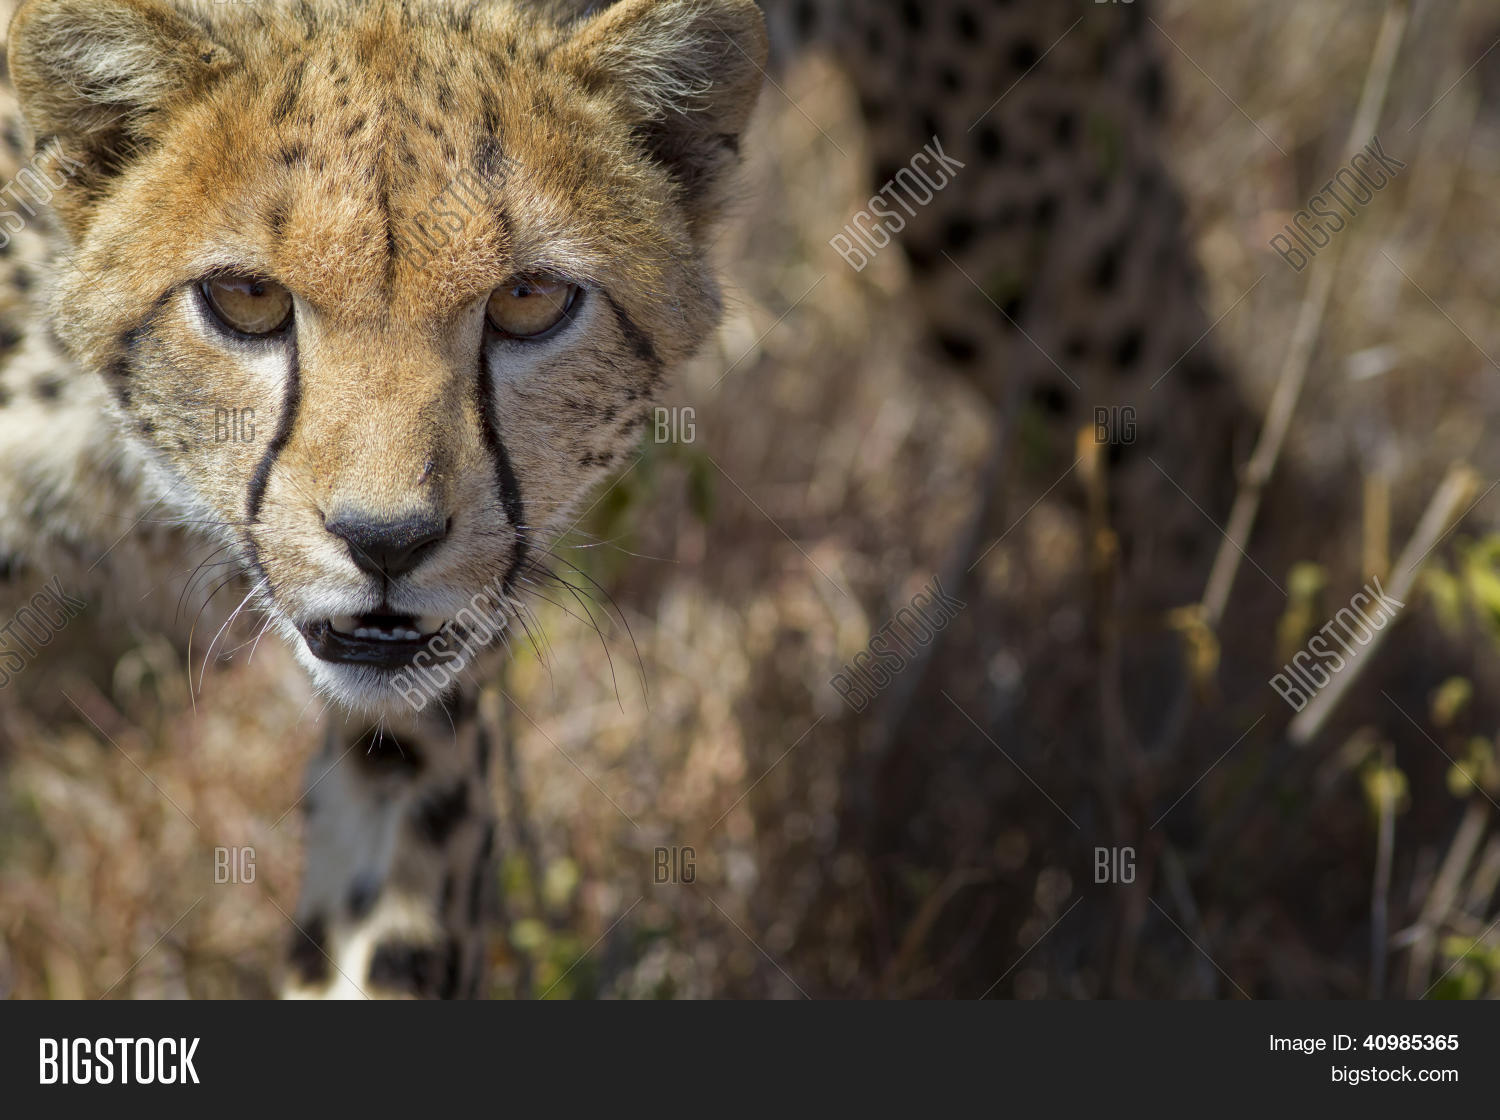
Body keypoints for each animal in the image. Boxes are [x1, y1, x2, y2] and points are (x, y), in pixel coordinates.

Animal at [0, 0, 1245, 998]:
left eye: (531, 299)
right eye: (245, 299)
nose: (386, 541)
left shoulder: (436, 690)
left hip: (1019, 185)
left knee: (1187, 419)